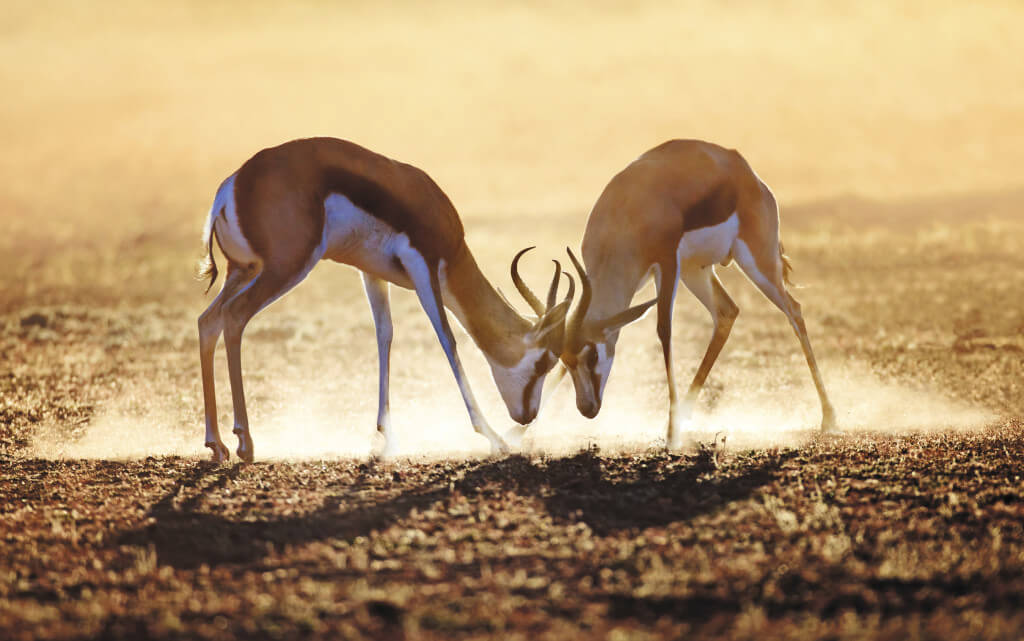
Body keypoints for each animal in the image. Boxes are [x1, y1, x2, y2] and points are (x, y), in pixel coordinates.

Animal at [197, 137, 572, 463]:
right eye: (545, 361)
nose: (527, 416)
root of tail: (231, 187)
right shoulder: (424, 265)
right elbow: (448, 340)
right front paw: (493, 437)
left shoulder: (371, 273)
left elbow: (385, 334)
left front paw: (385, 438)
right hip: (284, 268)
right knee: (234, 316)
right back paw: (245, 442)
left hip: (242, 271)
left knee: (208, 321)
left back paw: (217, 444)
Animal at [560, 139, 837, 449]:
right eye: (566, 360)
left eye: (592, 356)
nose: (586, 408)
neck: (626, 210)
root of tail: (747, 173)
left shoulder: (667, 265)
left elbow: (664, 331)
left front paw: (671, 434)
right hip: (696, 271)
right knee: (728, 311)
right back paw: (686, 414)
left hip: (756, 261)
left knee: (794, 310)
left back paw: (829, 417)